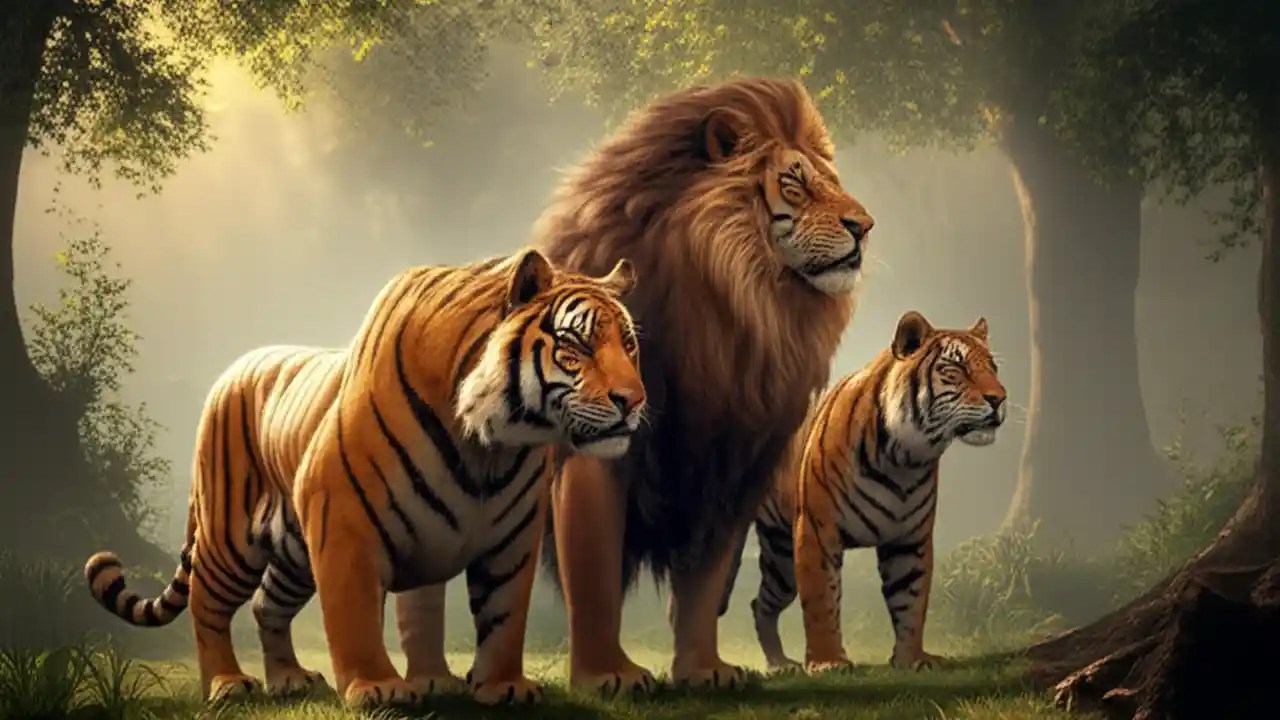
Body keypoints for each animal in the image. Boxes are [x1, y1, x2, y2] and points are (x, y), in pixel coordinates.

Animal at [84, 248, 646, 708]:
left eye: (629, 345)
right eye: (577, 347)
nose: (634, 400)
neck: (488, 445)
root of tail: (232, 368)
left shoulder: (511, 536)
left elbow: (502, 613)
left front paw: (499, 686)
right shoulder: (343, 522)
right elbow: (354, 616)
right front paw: (378, 688)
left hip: (292, 555)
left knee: (268, 604)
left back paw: (288, 680)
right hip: (231, 538)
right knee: (206, 601)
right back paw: (226, 684)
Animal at [534, 77, 874, 693]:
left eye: (834, 184)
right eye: (796, 184)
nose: (865, 226)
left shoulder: (732, 455)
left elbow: (705, 577)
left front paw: (704, 670)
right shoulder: (594, 449)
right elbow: (593, 572)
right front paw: (607, 675)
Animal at [733, 310, 1006, 674]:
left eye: (993, 368)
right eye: (955, 369)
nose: (1000, 398)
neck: (905, 458)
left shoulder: (910, 540)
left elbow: (911, 600)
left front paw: (911, 659)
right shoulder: (817, 533)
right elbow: (821, 601)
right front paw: (828, 662)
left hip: (781, 561)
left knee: (760, 603)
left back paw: (779, 662)